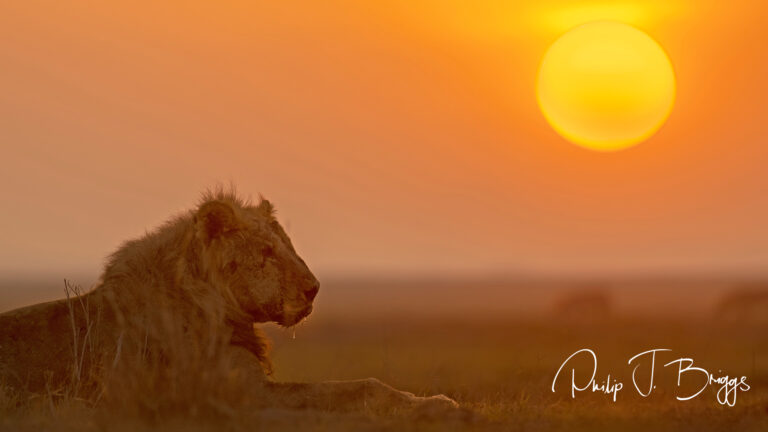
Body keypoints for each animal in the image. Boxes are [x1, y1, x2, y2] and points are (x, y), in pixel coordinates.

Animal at [0, 188, 457, 415]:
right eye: (267, 252)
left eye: (287, 246)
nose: (314, 288)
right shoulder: (248, 395)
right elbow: (353, 388)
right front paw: (441, 405)